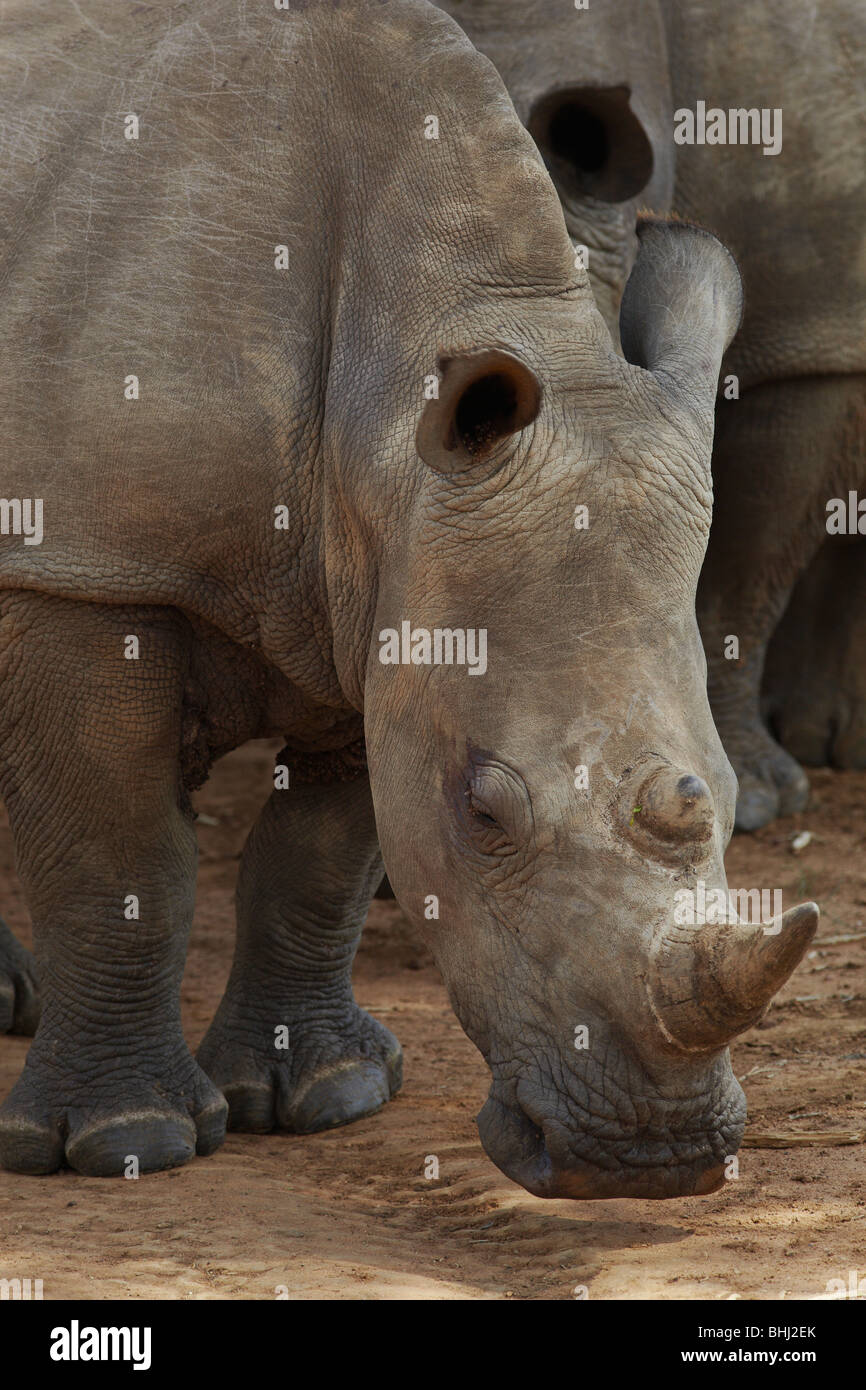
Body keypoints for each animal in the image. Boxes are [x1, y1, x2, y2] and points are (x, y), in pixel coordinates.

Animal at [0, 0, 817, 1198]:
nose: (652, 1157)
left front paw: (325, 1098)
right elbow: (121, 864)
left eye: (718, 789)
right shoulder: (88, 565)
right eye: (487, 813)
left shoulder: (382, 592)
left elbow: (321, 858)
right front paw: (124, 1144)